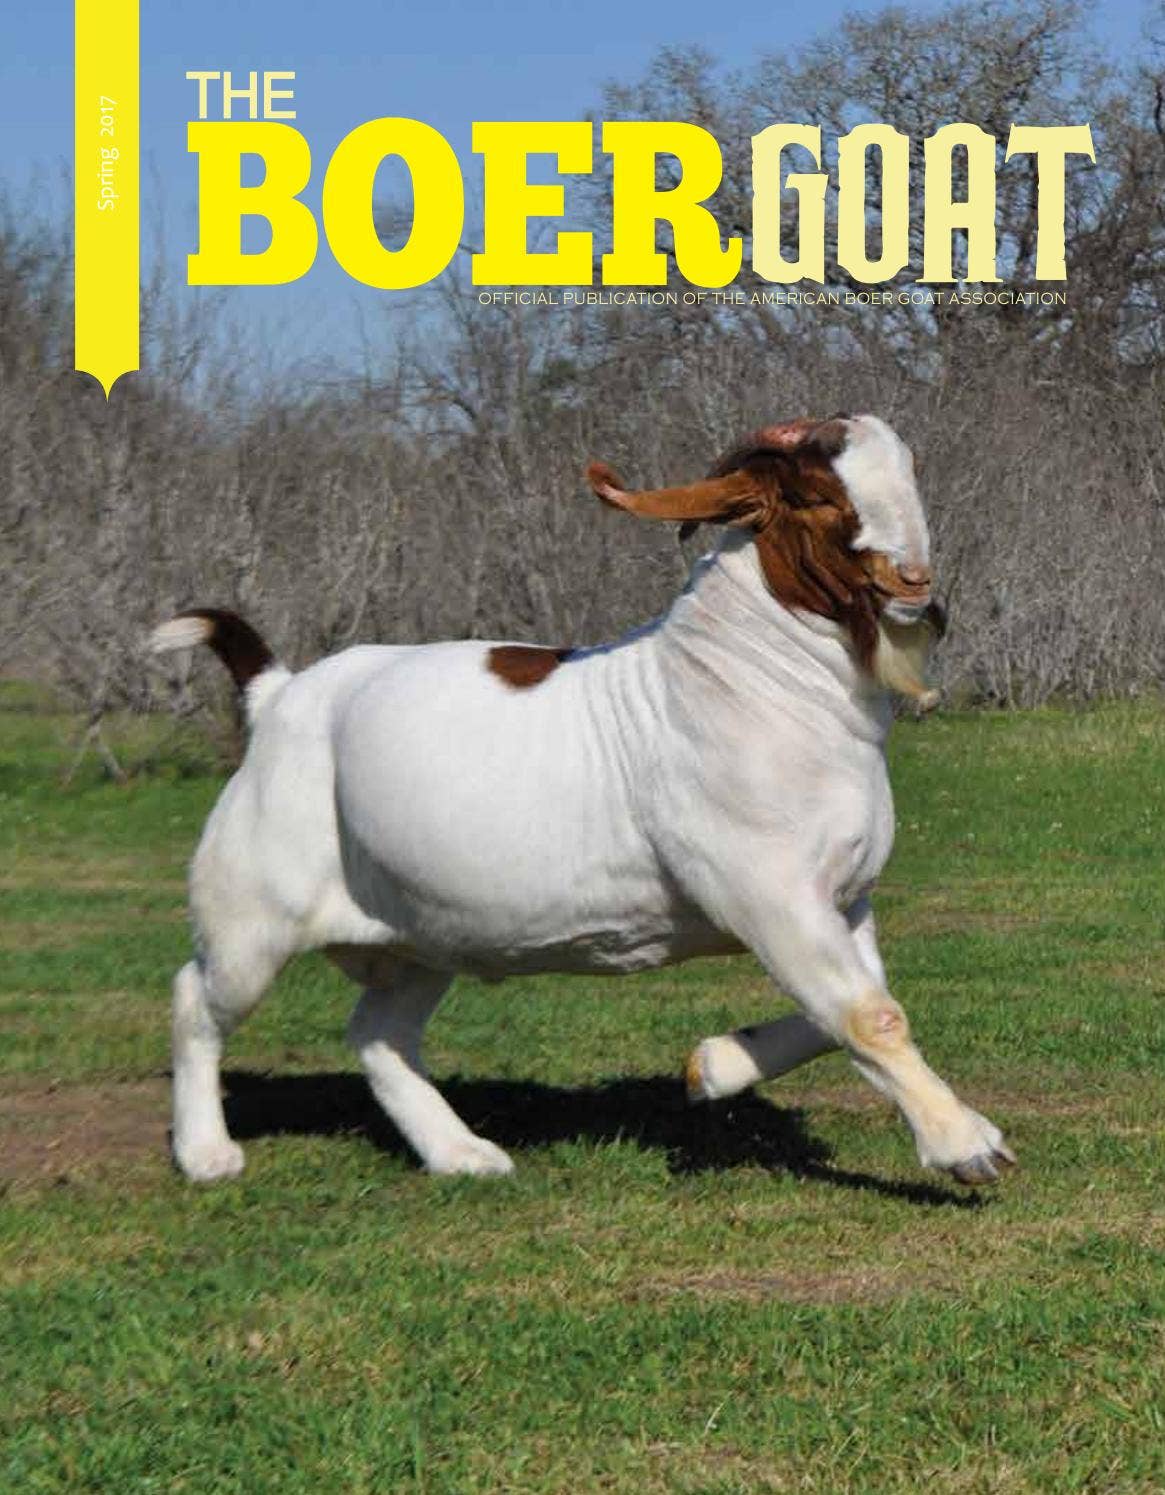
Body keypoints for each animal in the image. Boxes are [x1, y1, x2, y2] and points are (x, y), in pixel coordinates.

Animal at [152, 413, 1014, 1186]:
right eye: (816, 497)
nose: (914, 588)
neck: (746, 678)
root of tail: (279, 694)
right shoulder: (771, 896)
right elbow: (870, 1015)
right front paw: (964, 1143)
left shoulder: (842, 901)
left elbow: (839, 1013)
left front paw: (712, 1065)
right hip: (254, 912)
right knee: (198, 998)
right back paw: (206, 1153)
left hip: (424, 929)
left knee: (378, 1032)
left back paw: (460, 1153)